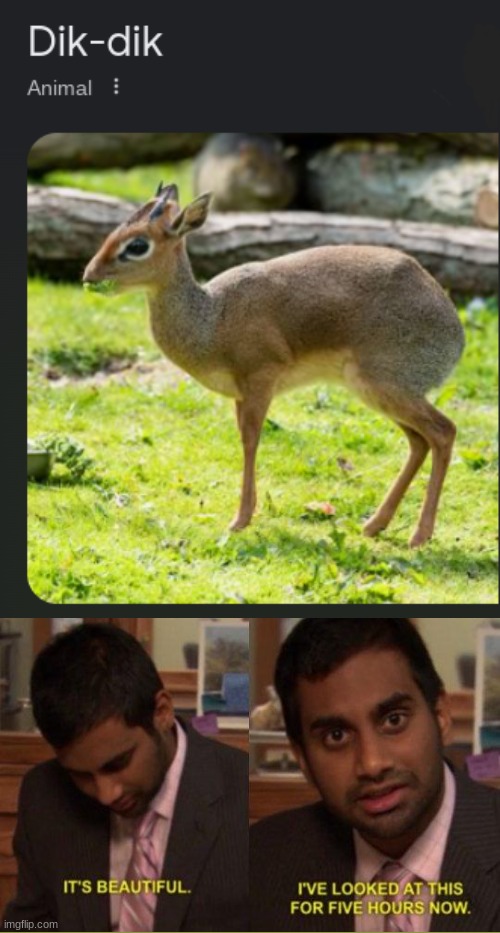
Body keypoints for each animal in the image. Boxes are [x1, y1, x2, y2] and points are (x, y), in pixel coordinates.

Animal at [83, 184, 465, 546]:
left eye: (137, 245)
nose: (89, 276)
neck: (212, 318)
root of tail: (455, 332)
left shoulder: (260, 380)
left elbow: (251, 440)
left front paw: (240, 519)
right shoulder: (239, 394)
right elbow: (244, 438)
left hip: (386, 387)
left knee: (443, 431)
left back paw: (419, 535)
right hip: (380, 393)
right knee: (420, 442)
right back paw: (374, 525)